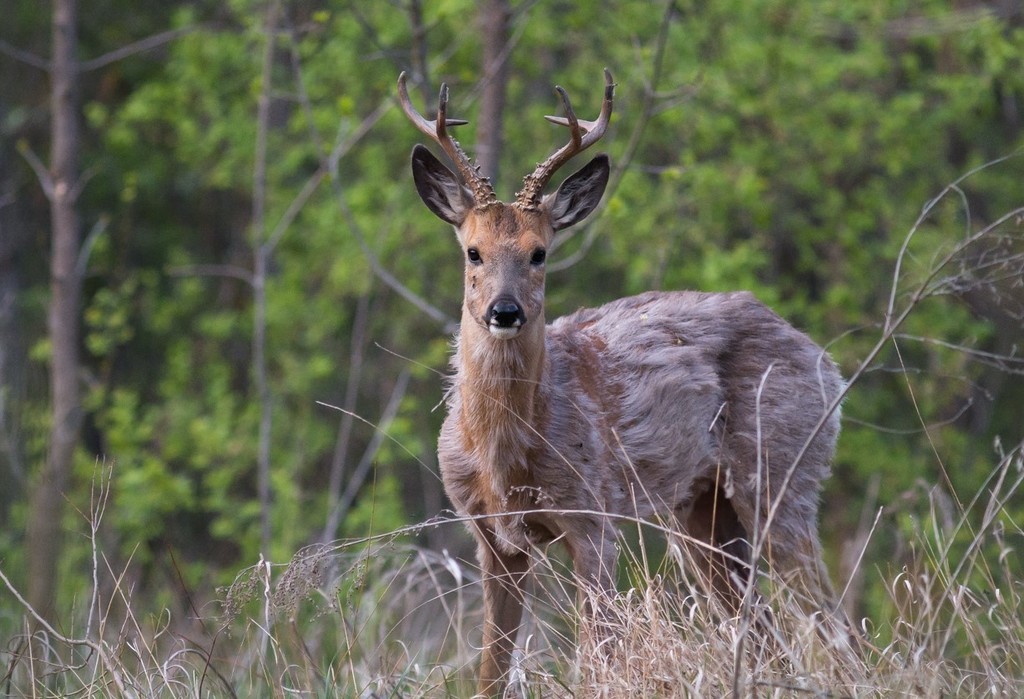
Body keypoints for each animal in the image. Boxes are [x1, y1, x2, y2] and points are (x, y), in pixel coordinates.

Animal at [398, 69, 848, 697]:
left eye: (540, 253)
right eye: (473, 251)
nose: (505, 311)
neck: (503, 456)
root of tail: (823, 359)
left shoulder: (594, 517)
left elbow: (601, 656)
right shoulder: (490, 536)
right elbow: (490, 670)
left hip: (783, 470)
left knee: (833, 625)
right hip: (703, 513)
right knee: (765, 634)